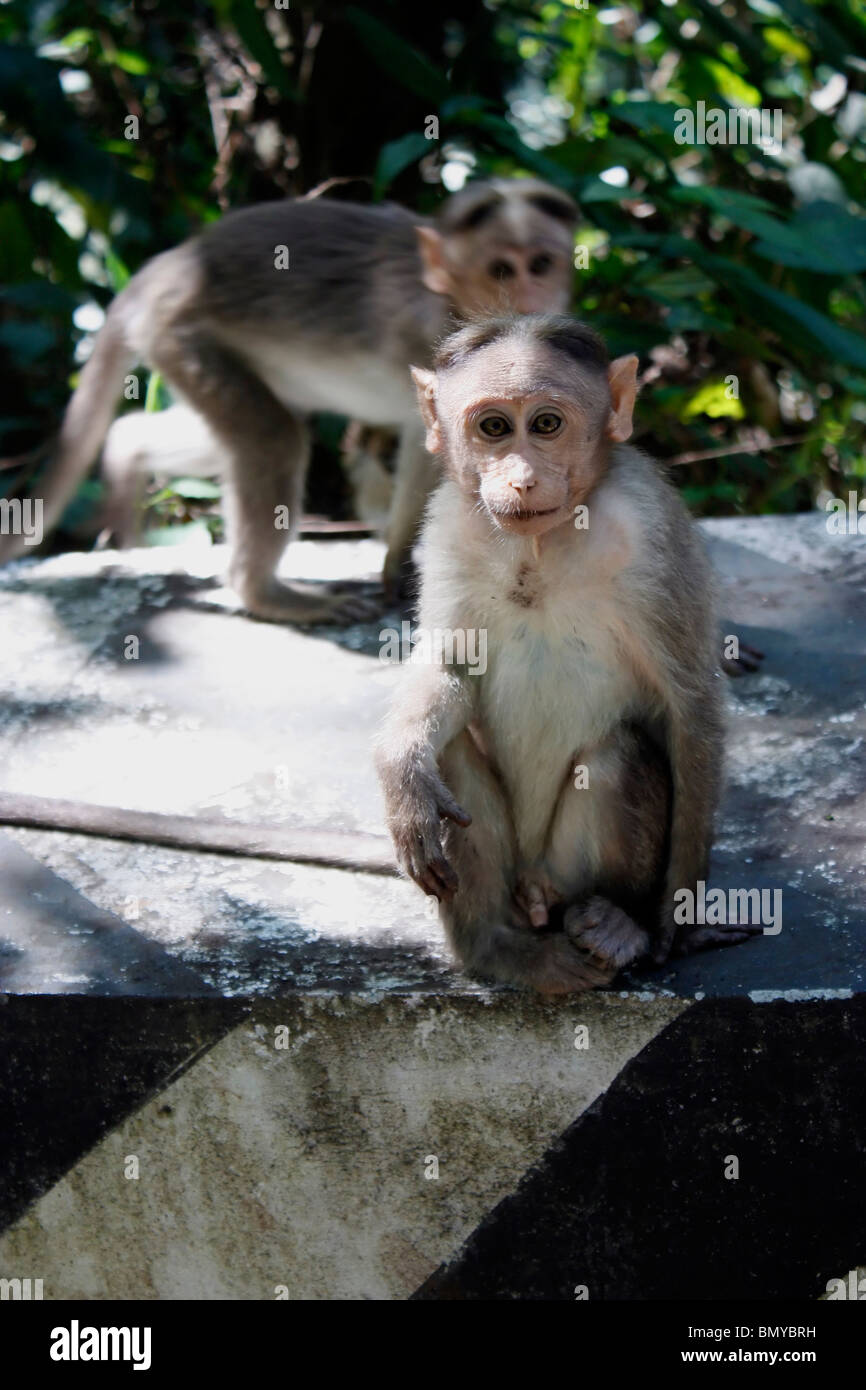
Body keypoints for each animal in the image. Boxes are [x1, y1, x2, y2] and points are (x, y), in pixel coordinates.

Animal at [0, 179, 577, 624]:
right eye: (502, 271)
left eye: (541, 263)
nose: (532, 299)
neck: (449, 297)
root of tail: (163, 268)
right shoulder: (437, 343)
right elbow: (436, 442)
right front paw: (400, 564)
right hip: (180, 335)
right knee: (272, 438)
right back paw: (266, 595)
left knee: (225, 437)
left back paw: (125, 462)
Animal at [375, 314, 760, 995]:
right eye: (494, 428)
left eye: (547, 424)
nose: (522, 478)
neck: (543, 544)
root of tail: (533, 887)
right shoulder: (449, 525)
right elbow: (449, 668)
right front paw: (402, 773)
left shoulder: (652, 525)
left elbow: (690, 704)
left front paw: (677, 926)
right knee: (453, 753)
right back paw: (498, 949)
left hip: (564, 871)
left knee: (618, 755)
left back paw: (619, 926)